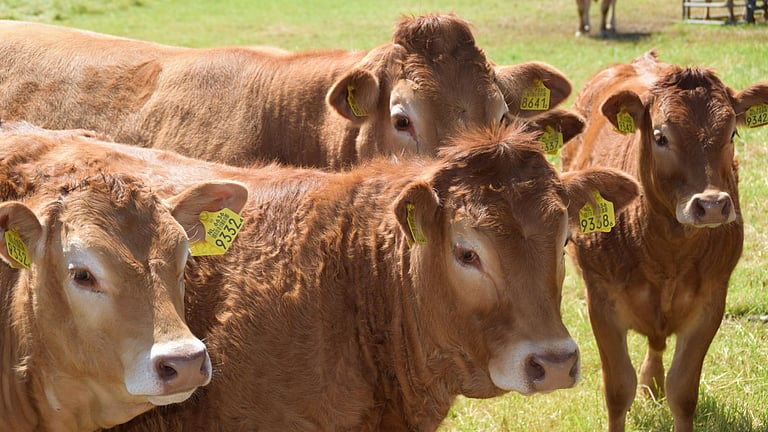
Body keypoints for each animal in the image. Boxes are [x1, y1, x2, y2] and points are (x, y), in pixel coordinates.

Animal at [561, 50, 768, 432]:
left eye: (732, 132)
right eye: (660, 137)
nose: (712, 204)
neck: (666, 253)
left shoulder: (711, 302)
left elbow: (683, 393)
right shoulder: (601, 301)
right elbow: (618, 391)